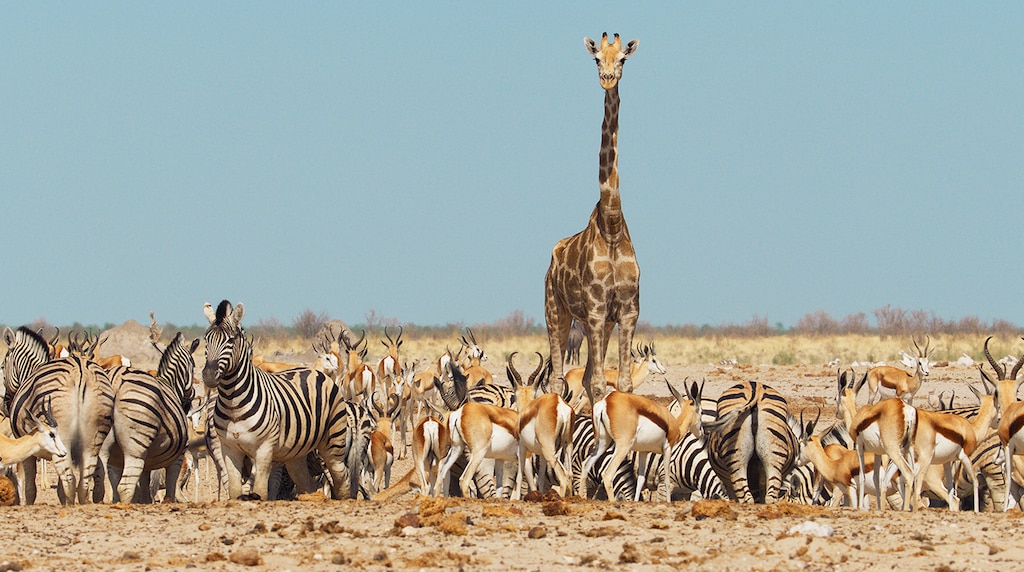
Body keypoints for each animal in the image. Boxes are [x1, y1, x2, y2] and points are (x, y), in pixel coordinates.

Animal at [544, 33, 640, 407]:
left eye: (623, 58)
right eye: (597, 58)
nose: (608, 79)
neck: (612, 225)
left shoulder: (626, 311)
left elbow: (622, 383)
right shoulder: (597, 309)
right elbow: (600, 383)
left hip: (589, 323)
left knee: (582, 377)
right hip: (556, 311)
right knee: (557, 380)